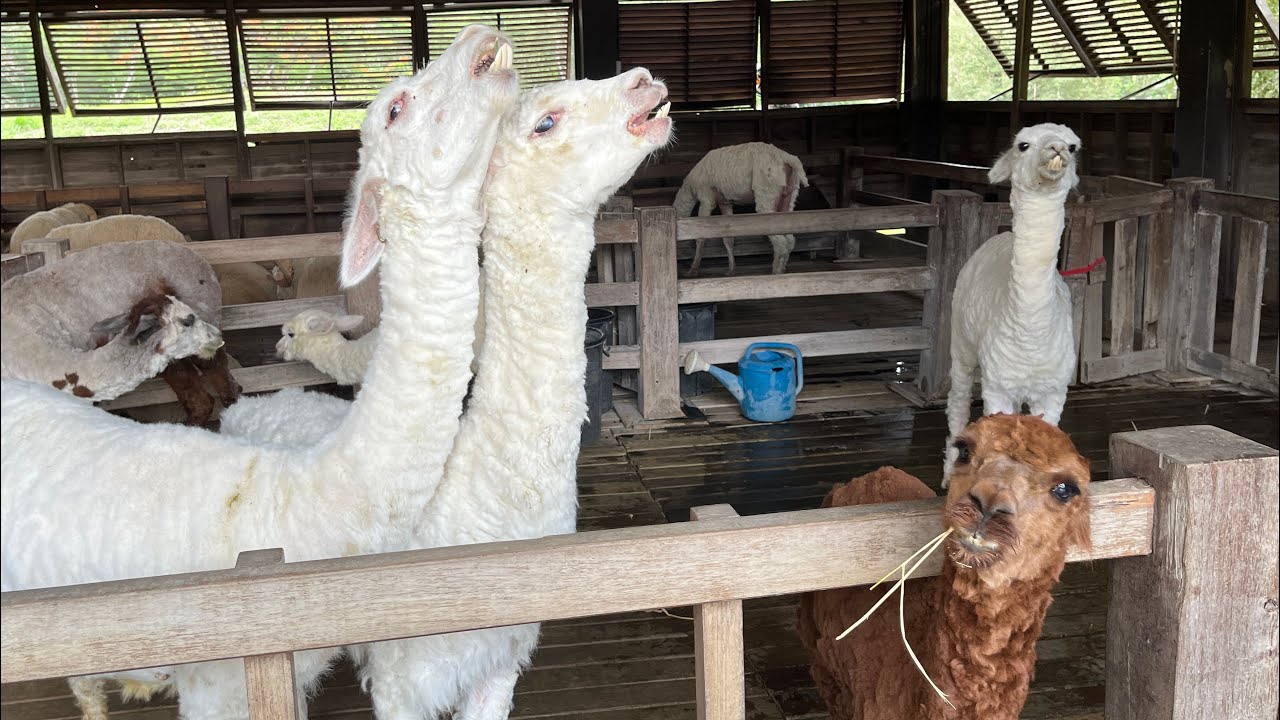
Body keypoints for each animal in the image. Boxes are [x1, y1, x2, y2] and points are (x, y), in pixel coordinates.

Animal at [673, 142, 809, 276]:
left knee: (782, 242)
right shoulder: (725, 202)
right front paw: (731, 270)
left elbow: (700, 236)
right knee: (790, 239)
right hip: (789, 194)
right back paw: (782, 268)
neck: (690, 189)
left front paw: (693, 270)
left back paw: (777, 271)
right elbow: (728, 238)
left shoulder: (706, 197)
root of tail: (788, 159)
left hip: (767, 189)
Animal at [943, 123, 1082, 486]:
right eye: (1023, 145)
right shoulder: (998, 389)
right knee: (958, 401)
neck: (1030, 332)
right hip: (961, 342)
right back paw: (949, 473)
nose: (1056, 149)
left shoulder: (1053, 390)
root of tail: (1001, 237)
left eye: (1073, 147)